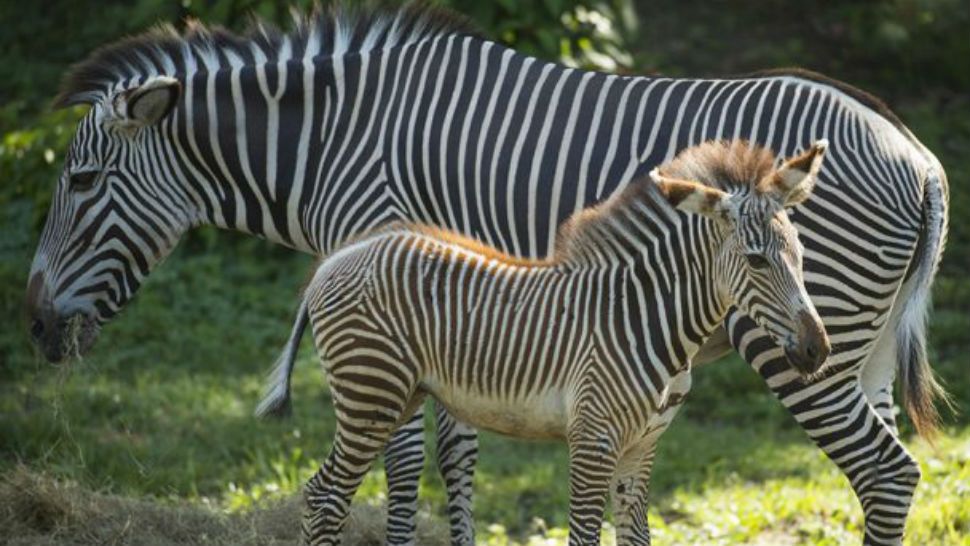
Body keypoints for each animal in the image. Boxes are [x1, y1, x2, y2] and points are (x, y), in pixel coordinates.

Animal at [290, 139, 831, 545]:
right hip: (370, 396)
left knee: (318, 492)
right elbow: (583, 536)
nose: (817, 350)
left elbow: (637, 537)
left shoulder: (642, 447)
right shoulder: (592, 439)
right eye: (757, 261)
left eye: (802, 254)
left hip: (394, 397)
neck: (641, 314)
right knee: (329, 498)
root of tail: (341, 255)